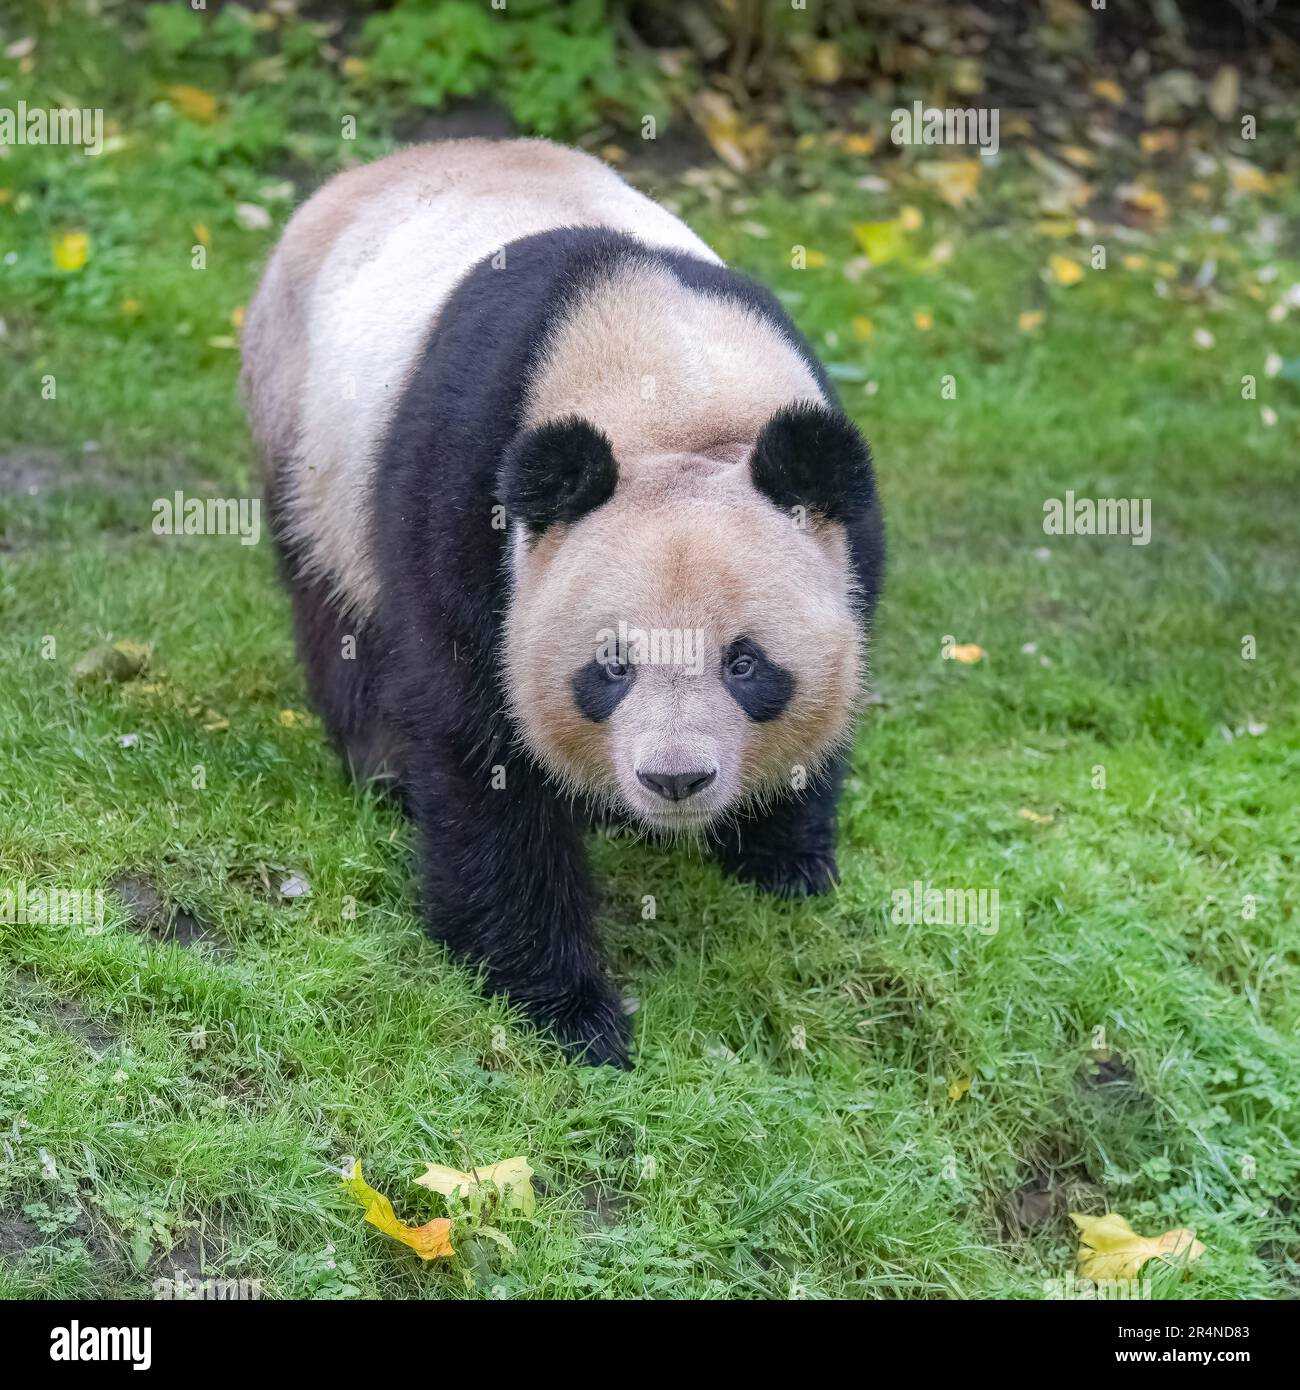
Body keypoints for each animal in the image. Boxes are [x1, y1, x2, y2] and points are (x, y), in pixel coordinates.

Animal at [242, 139, 884, 1067]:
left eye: (746, 663)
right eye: (609, 667)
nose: (675, 779)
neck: (668, 382)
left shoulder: (846, 534)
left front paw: (784, 859)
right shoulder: (469, 496)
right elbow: (477, 741)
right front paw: (569, 1010)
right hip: (308, 428)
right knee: (338, 613)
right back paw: (385, 771)